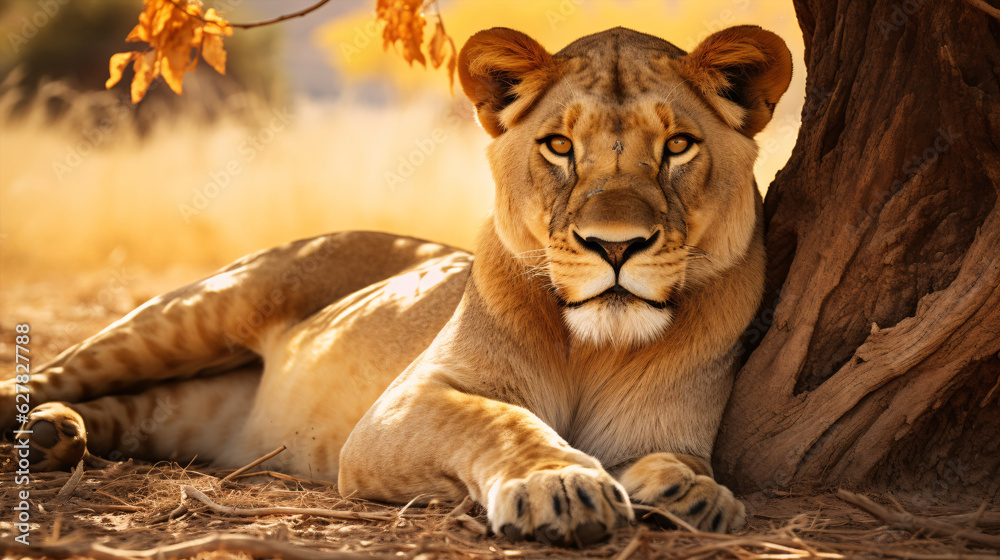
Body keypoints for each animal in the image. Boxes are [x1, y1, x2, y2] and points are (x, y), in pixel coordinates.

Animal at [2, 25, 792, 545]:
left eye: (678, 145)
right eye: (559, 146)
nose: (616, 245)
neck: (591, 347)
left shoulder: (669, 422)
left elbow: (681, 457)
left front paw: (693, 492)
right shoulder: (399, 409)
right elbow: (500, 419)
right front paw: (558, 484)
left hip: (198, 409)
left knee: (128, 411)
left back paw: (56, 437)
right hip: (200, 309)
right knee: (54, 371)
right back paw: (35, 424)